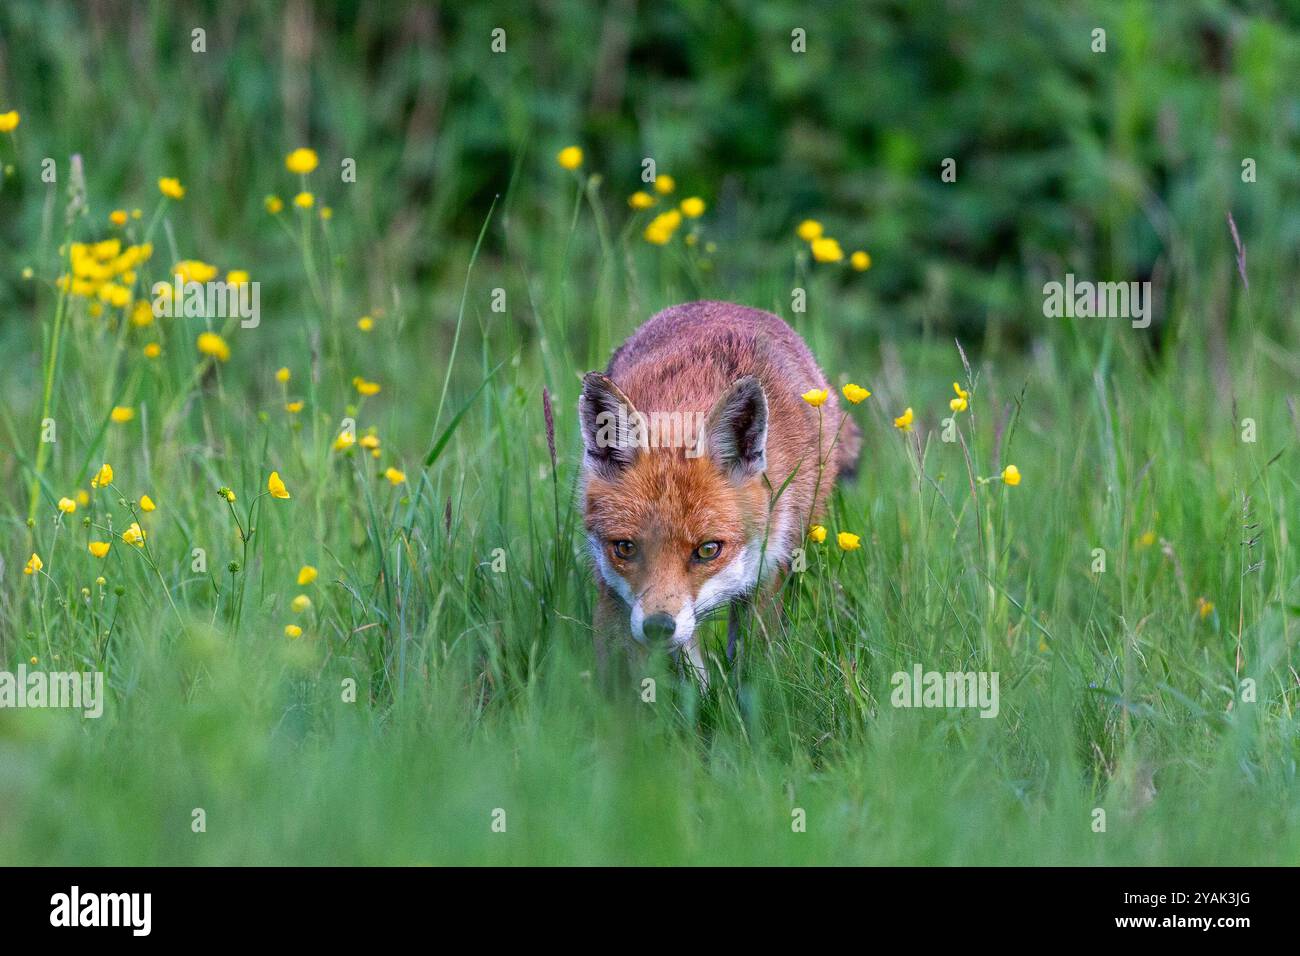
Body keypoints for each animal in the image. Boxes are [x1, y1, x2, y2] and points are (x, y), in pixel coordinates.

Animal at [579, 300, 860, 685]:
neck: (683, 407)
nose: (658, 627)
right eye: (625, 547)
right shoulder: (610, 585)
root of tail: (727, 305)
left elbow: (753, 669)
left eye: (708, 550)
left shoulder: (767, 573)